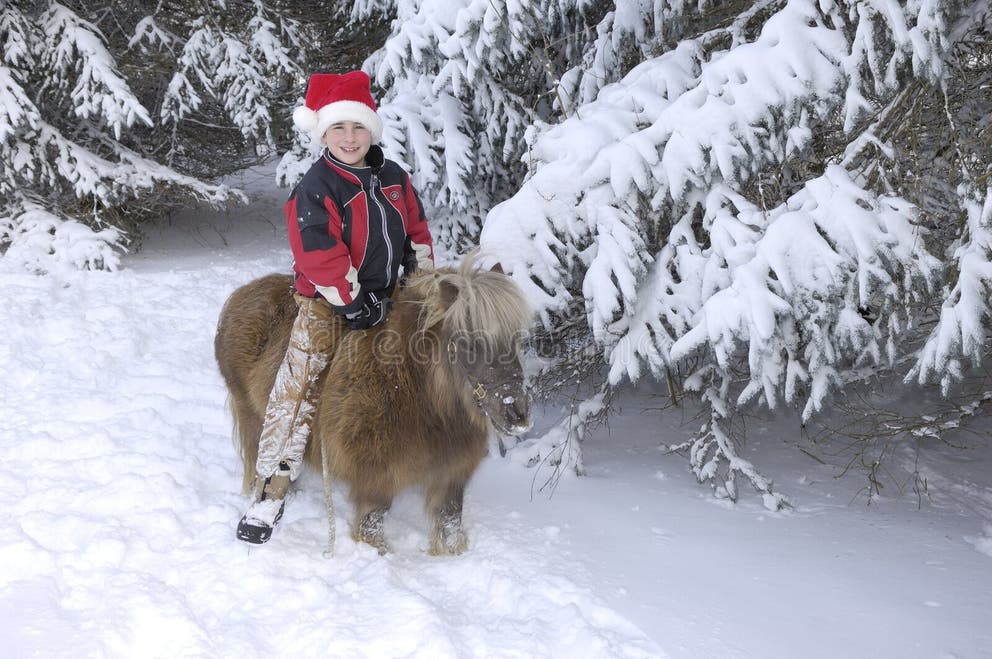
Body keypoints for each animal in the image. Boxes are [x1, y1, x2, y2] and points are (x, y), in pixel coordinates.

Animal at [214, 255, 533, 555]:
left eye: (516, 339)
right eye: (467, 342)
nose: (517, 414)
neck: (412, 387)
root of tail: (240, 295)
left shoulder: (452, 475)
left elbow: (450, 521)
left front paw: (450, 553)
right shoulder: (375, 476)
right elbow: (373, 522)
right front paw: (376, 553)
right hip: (256, 416)